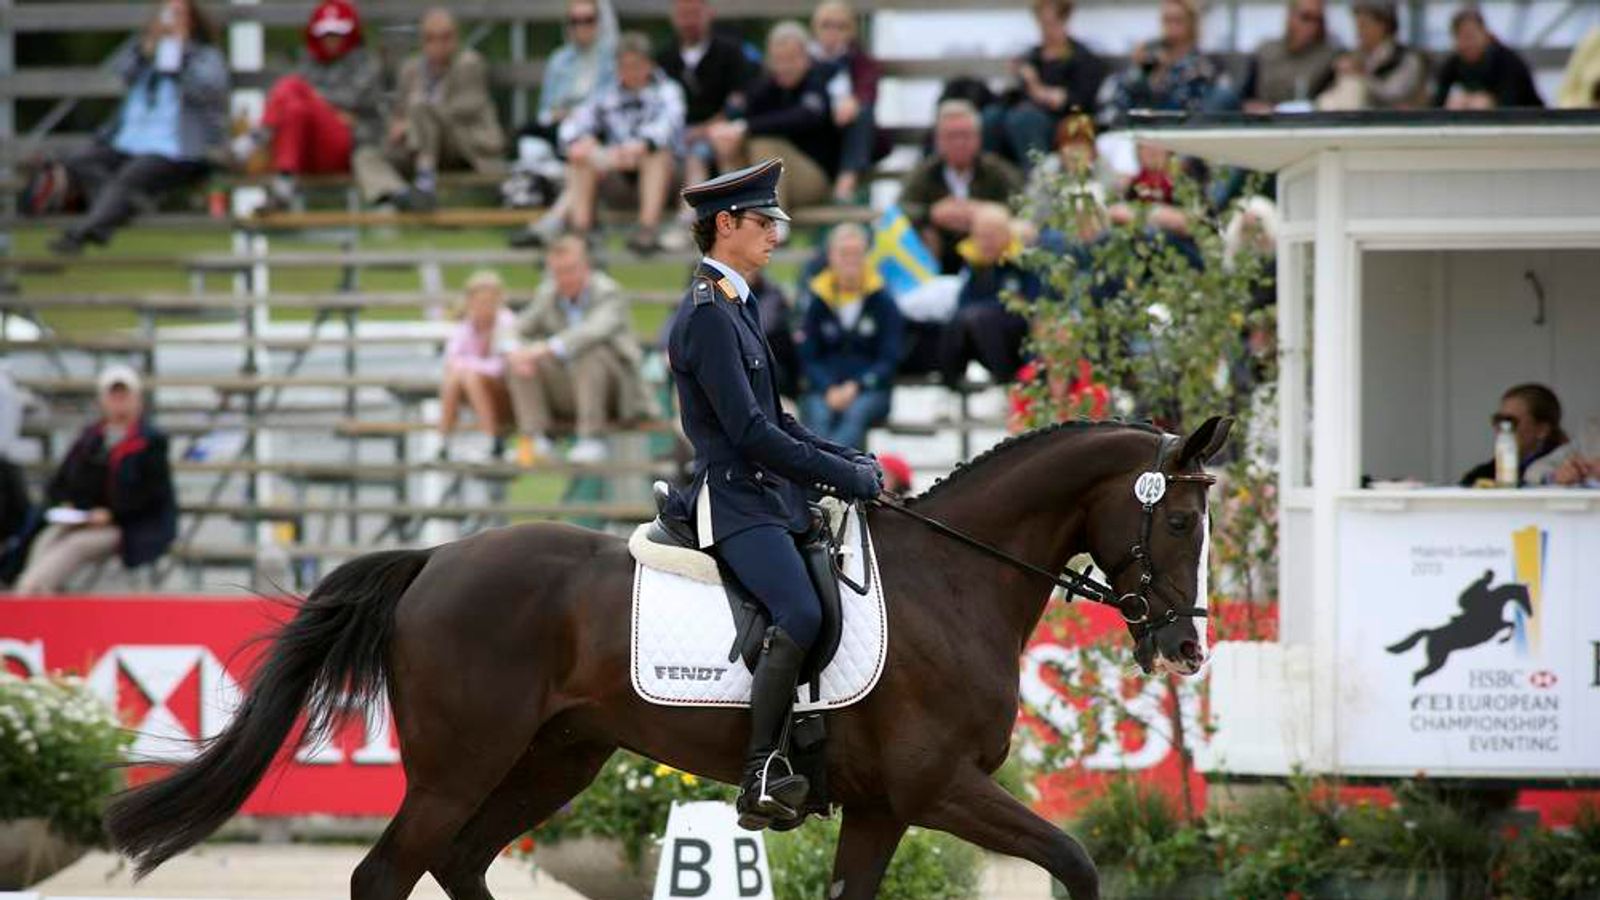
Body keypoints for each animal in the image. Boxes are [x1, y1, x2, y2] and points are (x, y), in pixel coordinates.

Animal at [105, 416, 1232, 900]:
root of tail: (435, 561)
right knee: (389, 874)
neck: (952, 579)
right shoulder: (938, 786)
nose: (1184, 645)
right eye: (1179, 521)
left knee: (460, 862)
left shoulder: (881, 809)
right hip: (462, 763)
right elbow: (1076, 861)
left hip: (556, 757)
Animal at [1386, 568, 1534, 686]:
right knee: (1418, 674)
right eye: (1525, 595)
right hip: (1438, 660)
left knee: (1418, 674)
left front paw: (1503, 640)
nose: (1531, 613)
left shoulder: (1497, 626)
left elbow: (1511, 624)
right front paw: (1503, 640)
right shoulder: (1495, 627)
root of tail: (1430, 633)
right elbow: (1511, 624)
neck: (1492, 604)